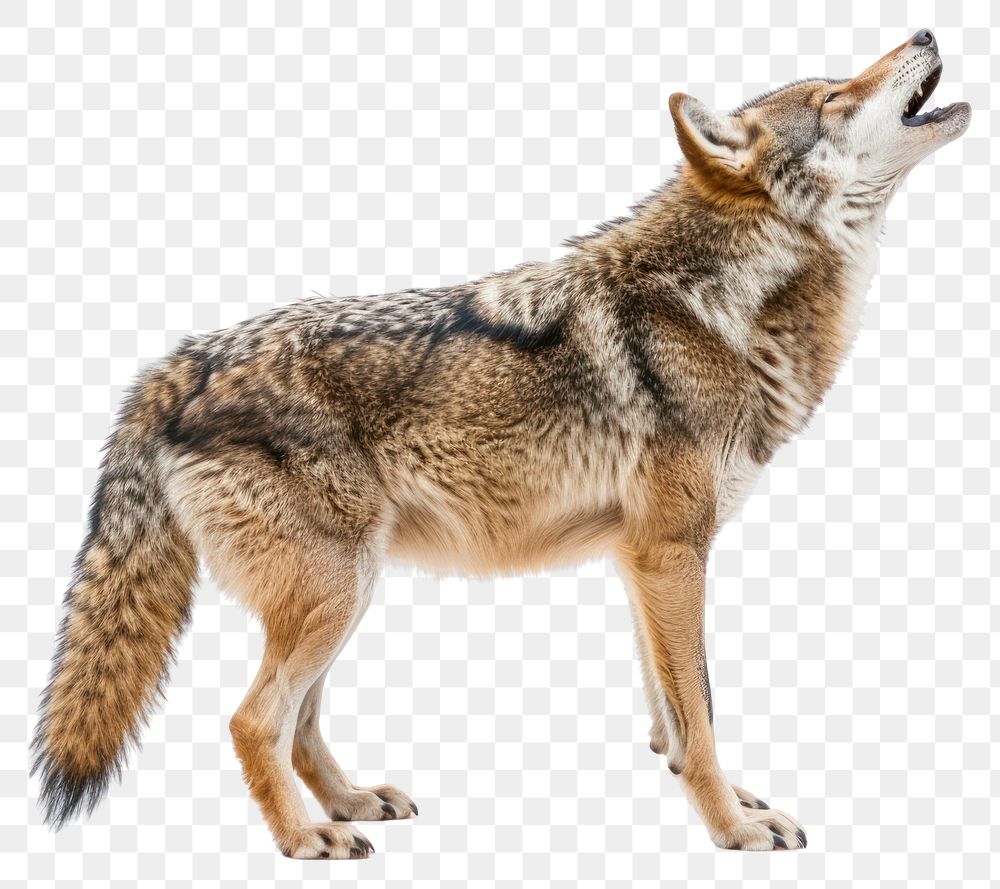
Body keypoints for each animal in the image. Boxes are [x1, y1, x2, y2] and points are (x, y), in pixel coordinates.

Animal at [33, 30, 969, 856]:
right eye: (833, 97)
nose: (926, 30)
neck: (719, 303)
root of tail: (180, 363)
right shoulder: (673, 551)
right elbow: (699, 714)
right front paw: (733, 828)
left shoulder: (640, 558)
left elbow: (671, 717)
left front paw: (732, 802)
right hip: (336, 591)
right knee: (252, 719)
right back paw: (307, 838)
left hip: (346, 593)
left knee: (298, 721)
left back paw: (351, 802)